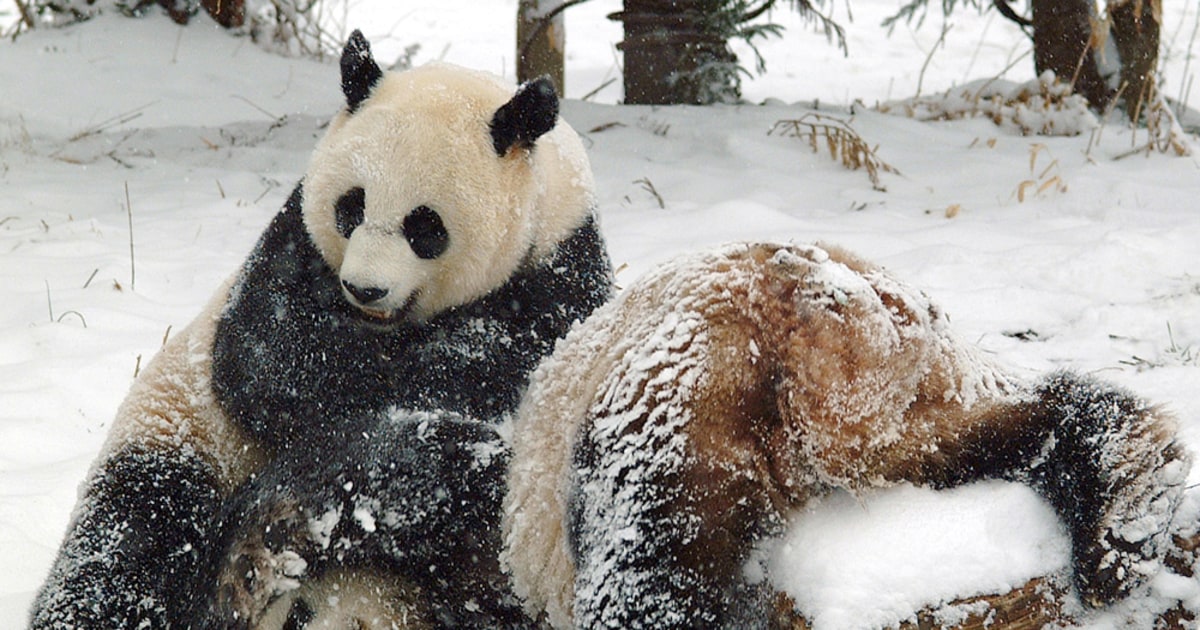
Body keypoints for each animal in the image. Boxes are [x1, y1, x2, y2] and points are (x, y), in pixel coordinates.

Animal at [31, 30, 612, 629]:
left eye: (425, 227)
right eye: (350, 207)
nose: (364, 288)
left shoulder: (557, 273)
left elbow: (482, 374)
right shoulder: (292, 238)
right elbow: (266, 357)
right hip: (181, 437)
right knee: (128, 536)